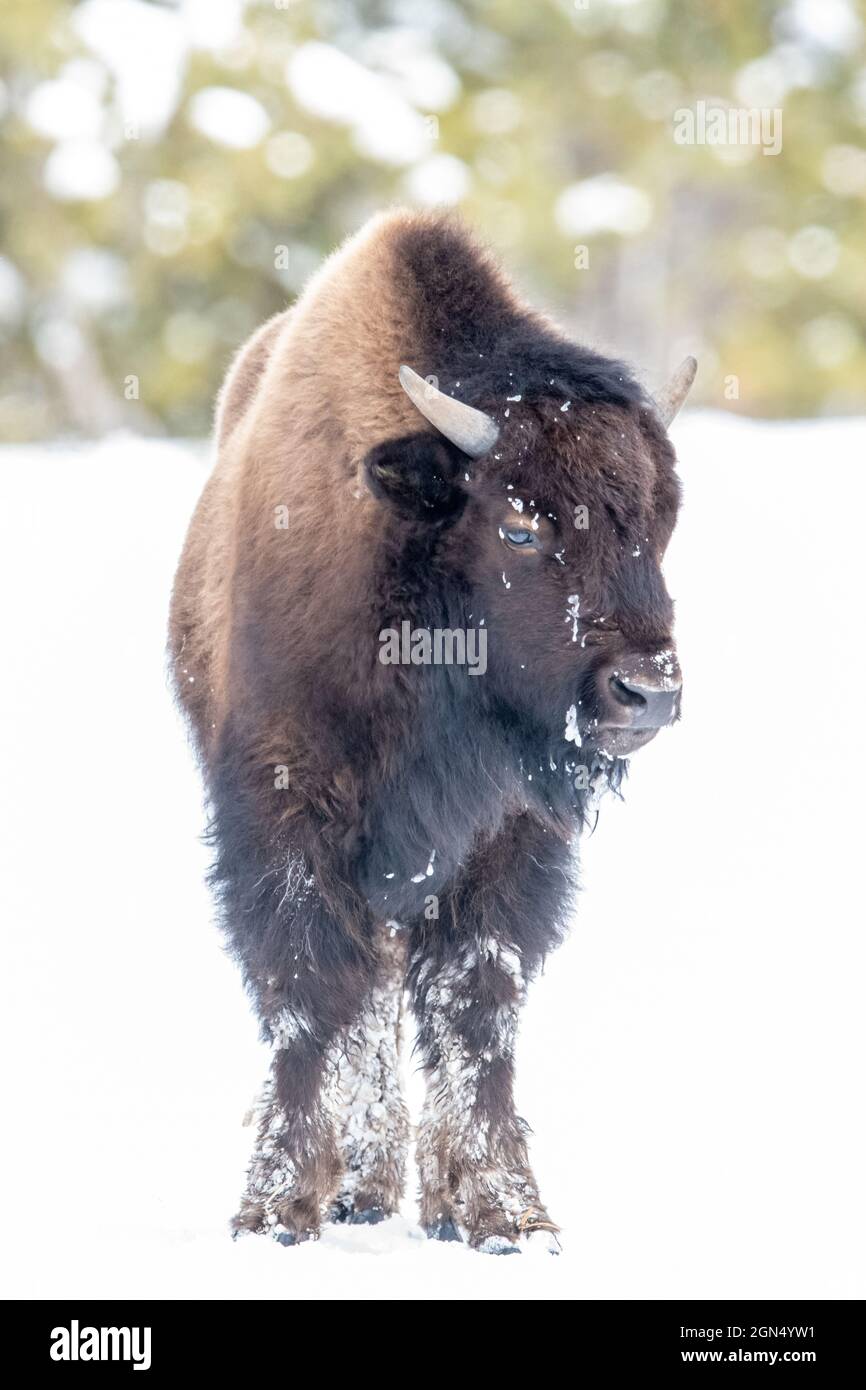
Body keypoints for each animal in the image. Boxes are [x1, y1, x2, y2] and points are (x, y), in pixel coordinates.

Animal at [169, 209, 693, 1254]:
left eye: (662, 520)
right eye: (523, 526)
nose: (646, 693)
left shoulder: (508, 838)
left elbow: (475, 1004)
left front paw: (503, 1213)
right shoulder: (287, 820)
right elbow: (309, 994)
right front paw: (274, 1212)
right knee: (362, 994)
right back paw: (359, 1189)